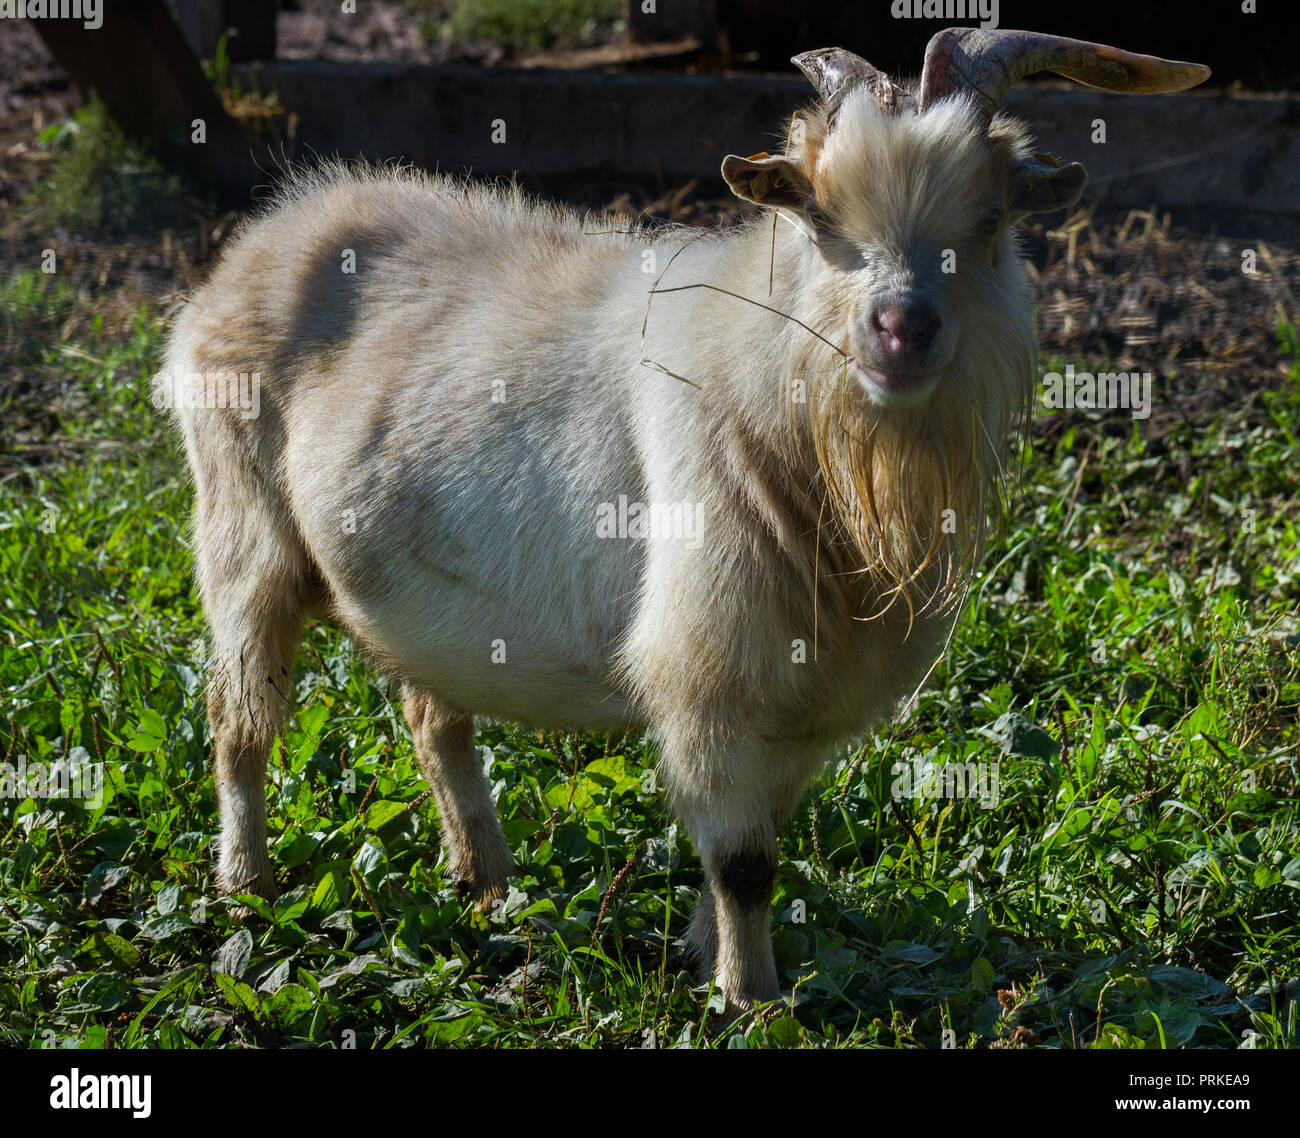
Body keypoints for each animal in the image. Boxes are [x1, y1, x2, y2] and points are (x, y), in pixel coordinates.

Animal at [158, 28, 1208, 1015]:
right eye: (821, 217)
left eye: (990, 218)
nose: (901, 329)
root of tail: (271, 230)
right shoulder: (709, 670)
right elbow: (744, 861)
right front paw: (752, 999)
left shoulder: (801, 698)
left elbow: (752, 846)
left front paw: (705, 955)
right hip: (243, 536)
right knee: (238, 722)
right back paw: (248, 888)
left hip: (418, 601)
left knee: (431, 717)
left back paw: (485, 882)